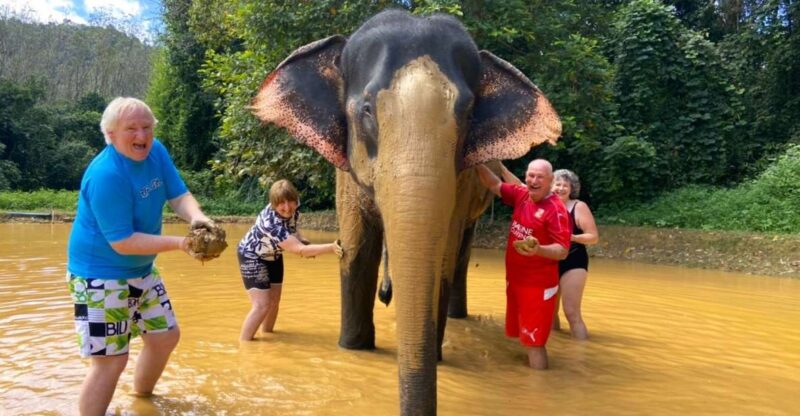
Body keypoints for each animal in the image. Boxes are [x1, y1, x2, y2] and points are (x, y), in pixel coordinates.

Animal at [251, 9, 561, 415]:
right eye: (367, 110)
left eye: (467, 113)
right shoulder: (346, 174)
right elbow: (358, 252)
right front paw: (353, 348)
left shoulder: (461, 183)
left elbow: (441, 259)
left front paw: (436, 355)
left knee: (460, 254)